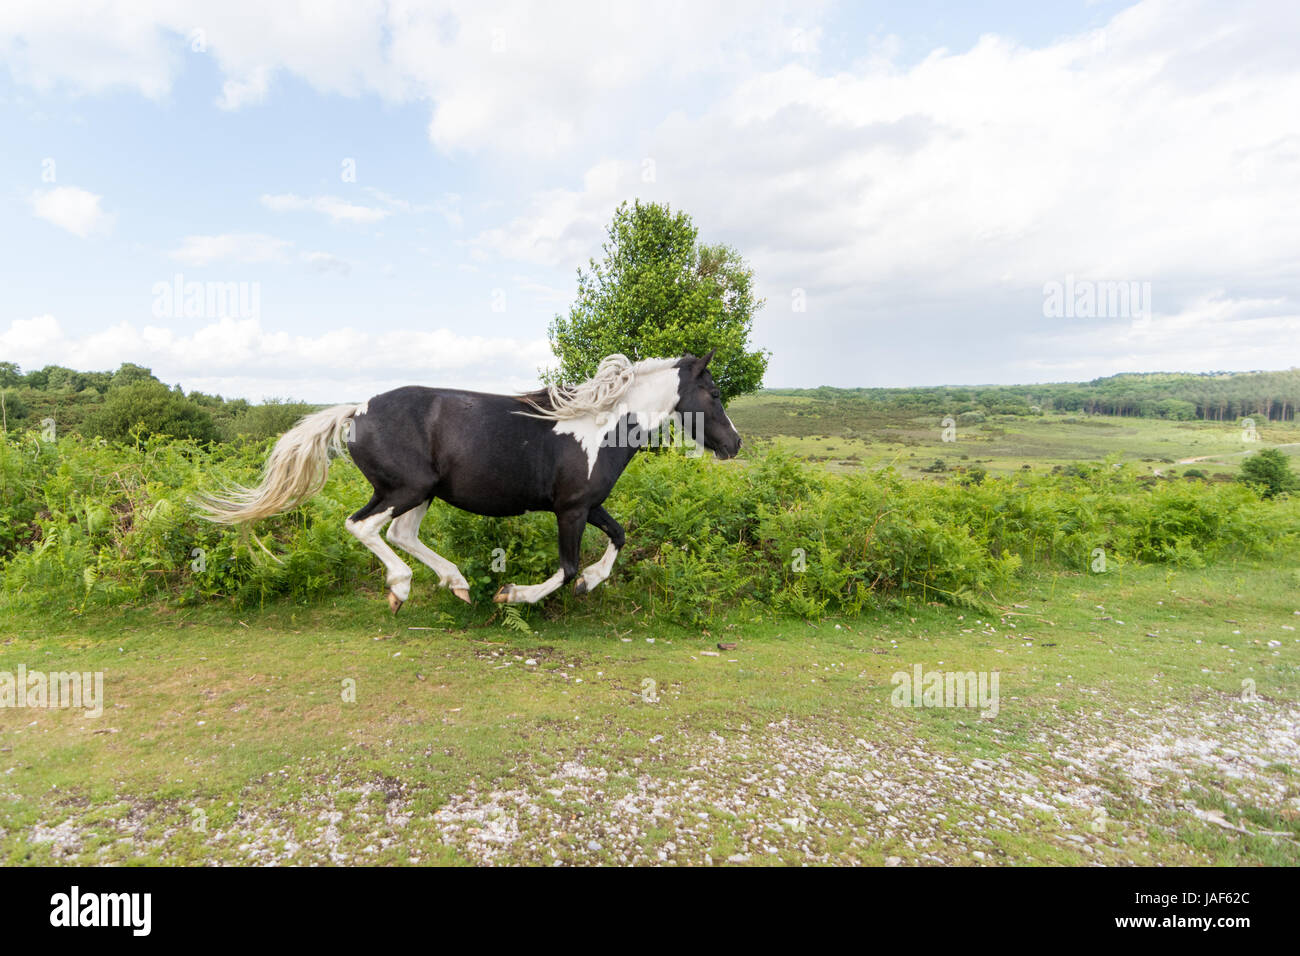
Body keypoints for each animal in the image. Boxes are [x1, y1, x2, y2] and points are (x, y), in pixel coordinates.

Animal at [197, 350, 742, 611]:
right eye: (713, 393)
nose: (734, 444)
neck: (598, 427)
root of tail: (357, 410)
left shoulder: (588, 504)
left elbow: (618, 538)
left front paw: (593, 581)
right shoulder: (569, 510)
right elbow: (565, 569)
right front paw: (513, 595)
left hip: (420, 494)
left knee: (401, 534)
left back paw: (456, 584)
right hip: (404, 489)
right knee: (364, 527)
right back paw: (402, 588)